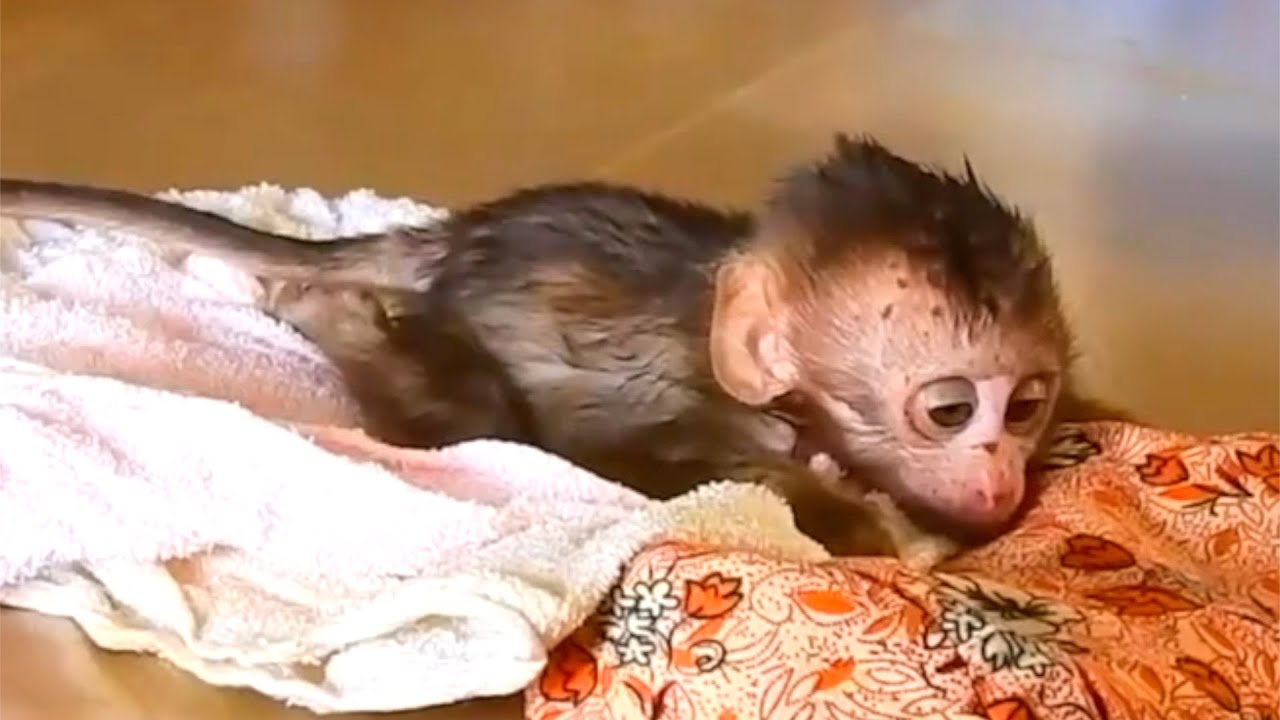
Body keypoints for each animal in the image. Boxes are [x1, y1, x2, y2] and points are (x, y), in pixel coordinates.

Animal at [0, 135, 1130, 562]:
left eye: (1026, 403)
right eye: (949, 410)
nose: (997, 474)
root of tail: (453, 239)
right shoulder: (685, 409)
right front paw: (861, 521)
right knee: (477, 417)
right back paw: (323, 309)